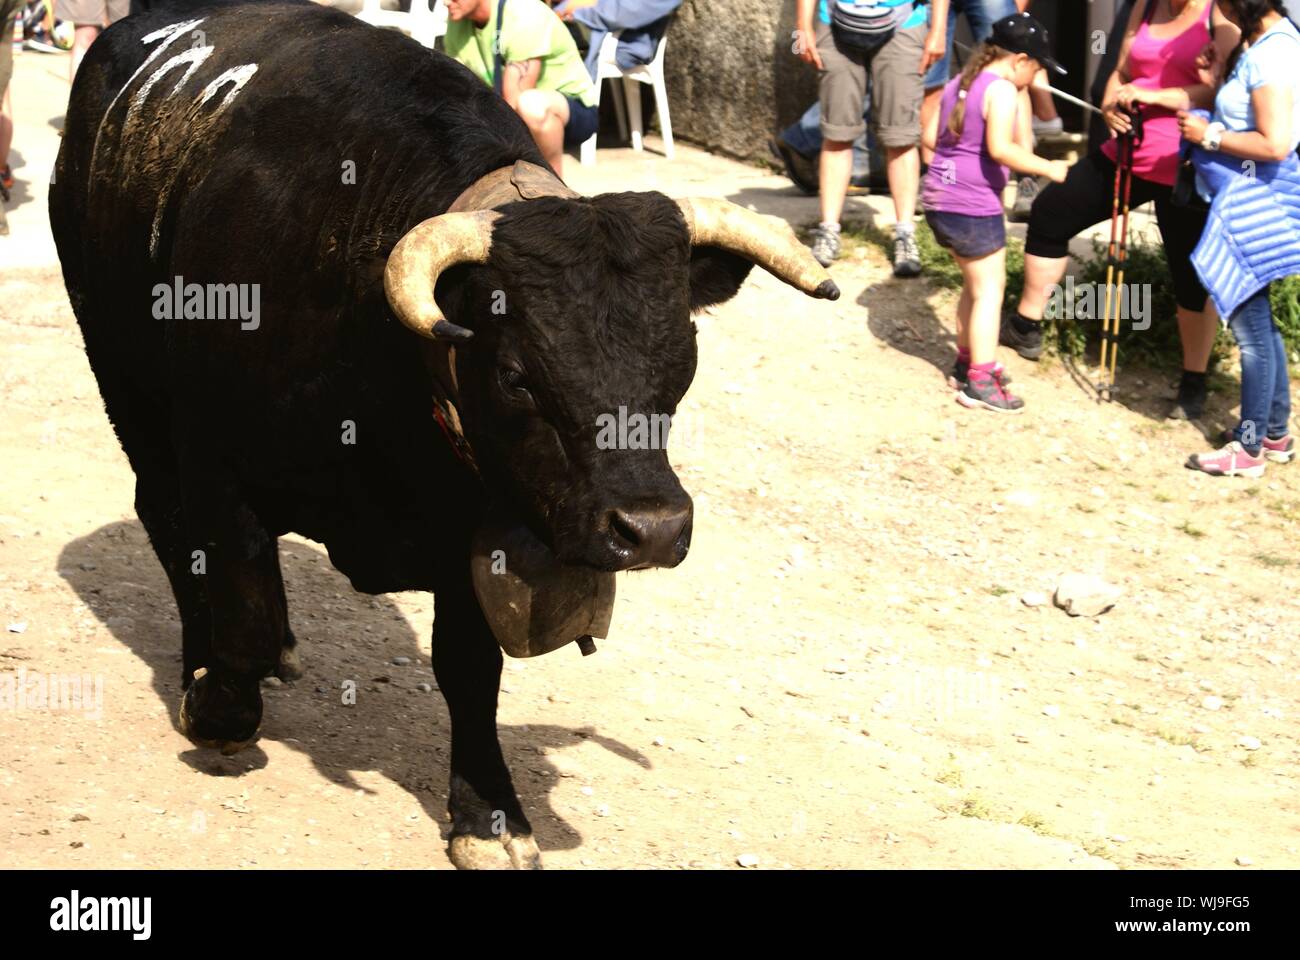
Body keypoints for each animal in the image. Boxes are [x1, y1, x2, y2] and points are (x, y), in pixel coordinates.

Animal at [50, 0, 838, 868]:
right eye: (519, 375)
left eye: (682, 364)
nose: (653, 529)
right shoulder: (216, 462)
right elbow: (239, 610)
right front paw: (216, 703)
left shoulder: (475, 524)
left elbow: (468, 671)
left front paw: (489, 813)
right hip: (120, 374)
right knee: (164, 521)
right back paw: (201, 659)